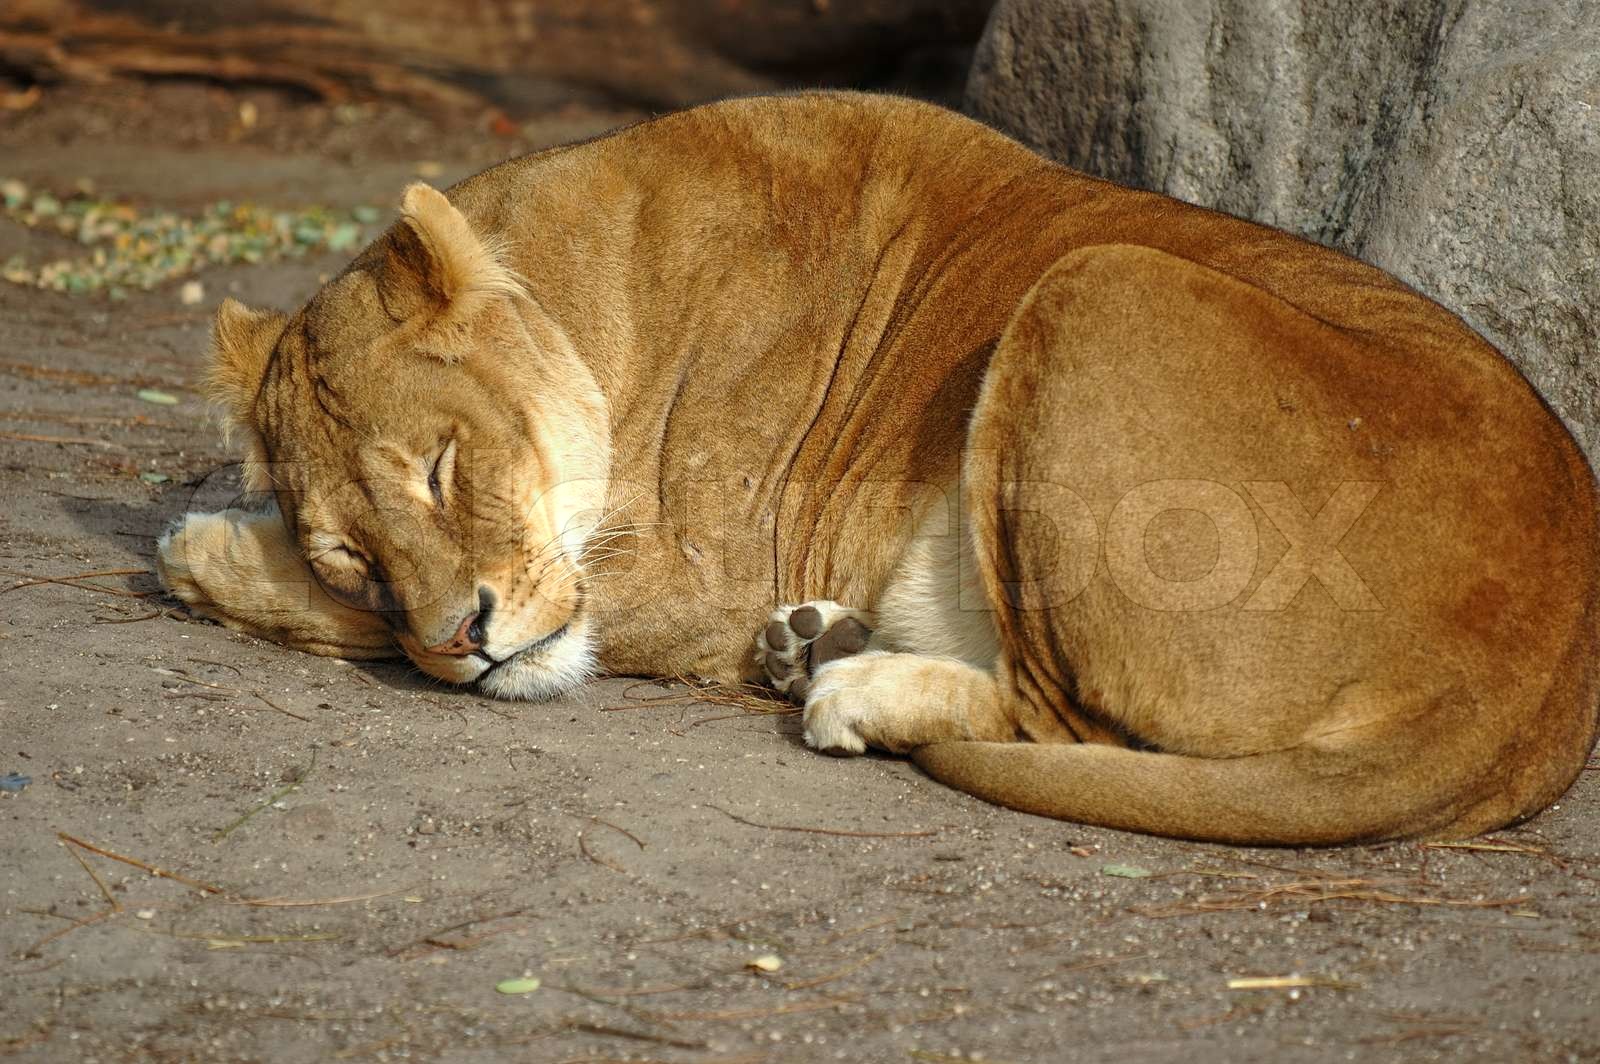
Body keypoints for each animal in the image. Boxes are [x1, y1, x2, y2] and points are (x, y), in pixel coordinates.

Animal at [156, 92, 1600, 844]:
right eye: (356, 547)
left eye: (445, 471)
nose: (467, 639)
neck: (590, 292)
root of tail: (1535, 682)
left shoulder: (704, 569)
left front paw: (205, 553)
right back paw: (820, 647)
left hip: (1096, 282)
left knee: (1062, 721)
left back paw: (848, 687)